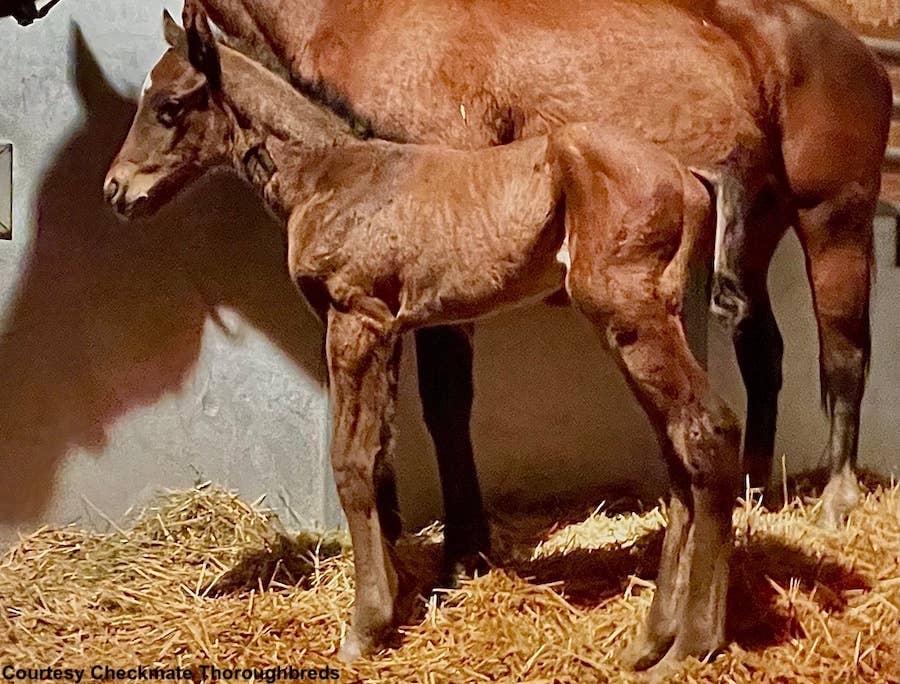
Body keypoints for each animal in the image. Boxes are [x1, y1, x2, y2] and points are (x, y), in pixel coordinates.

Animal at [104, 10, 741, 672]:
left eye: (170, 106)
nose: (115, 190)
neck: (332, 177)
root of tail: (690, 174)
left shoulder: (355, 319)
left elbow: (351, 460)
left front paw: (366, 625)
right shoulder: (388, 329)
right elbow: (379, 450)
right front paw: (398, 596)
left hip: (631, 317)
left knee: (710, 431)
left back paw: (691, 646)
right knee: (679, 450)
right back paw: (651, 638)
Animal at [191, 0, 892, 543]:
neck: (356, 19)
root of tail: (859, 53)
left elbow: (445, 403)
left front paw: (465, 547)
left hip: (834, 222)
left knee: (845, 357)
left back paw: (836, 499)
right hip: (759, 231)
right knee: (762, 351)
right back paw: (751, 487)